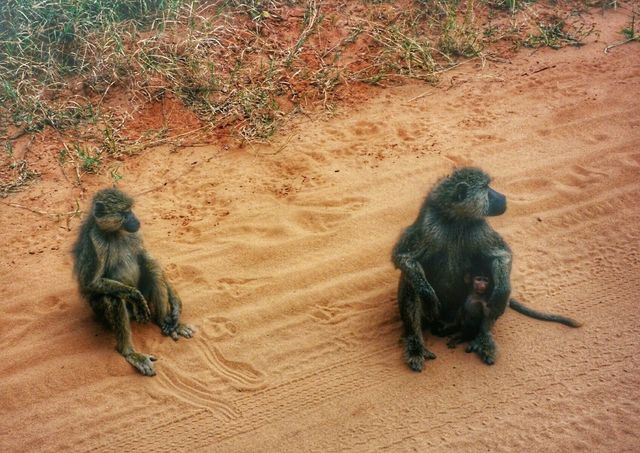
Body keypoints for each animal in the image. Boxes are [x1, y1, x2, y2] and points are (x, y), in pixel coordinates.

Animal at [73, 188, 194, 376]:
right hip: (102, 312)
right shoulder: (95, 241)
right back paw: (130, 352)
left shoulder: (135, 234)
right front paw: (135, 296)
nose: (135, 219)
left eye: (130, 210)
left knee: (152, 267)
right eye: (125, 213)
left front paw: (175, 305)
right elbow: (90, 283)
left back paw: (166, 322)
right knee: (113, 297)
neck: (116, 232)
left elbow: (145, 256)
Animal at [392, 167, 580, 371]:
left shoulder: (480, 227)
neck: (455, 219)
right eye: (486, 188)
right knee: (411, 281)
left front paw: (502, 292)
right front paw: (427, 296)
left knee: (490, 281)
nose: (503, 198)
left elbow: (501, 255)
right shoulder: (428, 225)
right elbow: (404, 258)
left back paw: (482, 337)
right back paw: (416, 345)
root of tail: (447, 320)